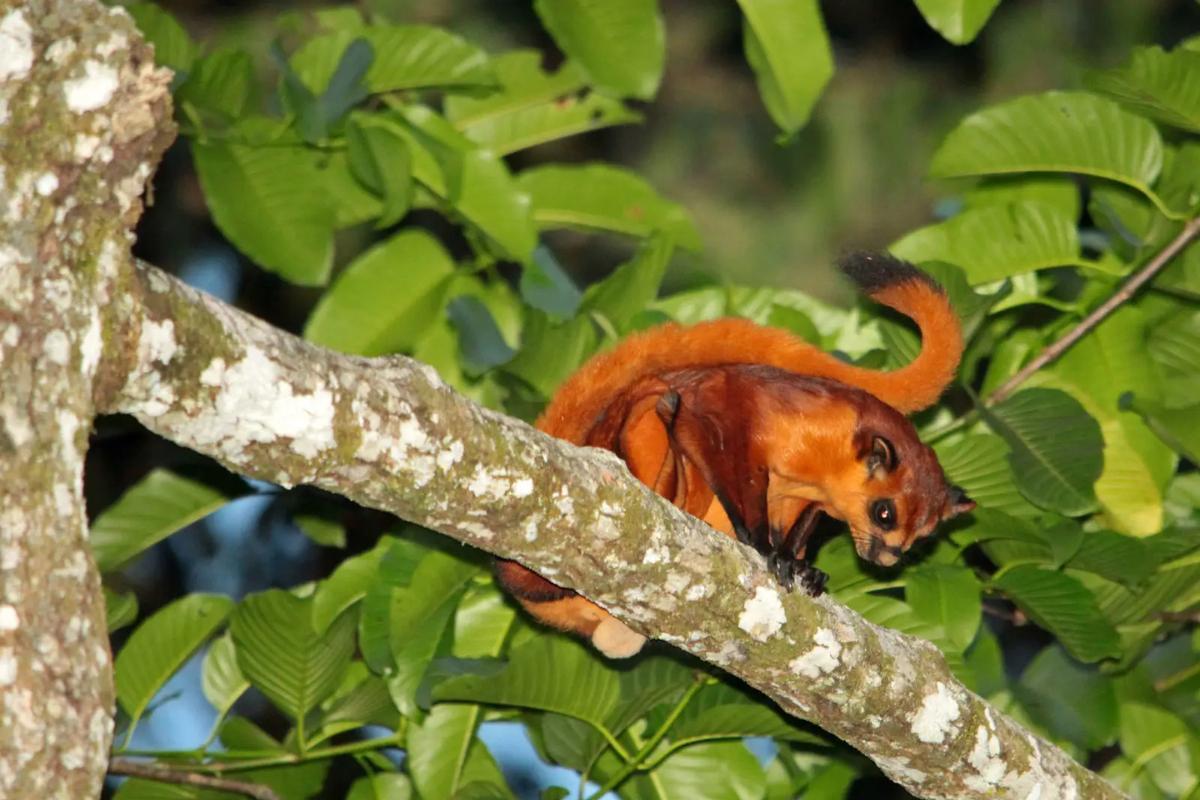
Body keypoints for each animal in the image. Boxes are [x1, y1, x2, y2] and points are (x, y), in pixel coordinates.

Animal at [495, 253, 976, 658]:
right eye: (885, 514)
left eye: (921, 536)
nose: (888, 558)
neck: (824, 461)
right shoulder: (733, 409)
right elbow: (708, 433)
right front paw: (762, 545)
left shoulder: (811, 498)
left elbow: (798, 525)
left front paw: (800, 566)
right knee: (660, 408)